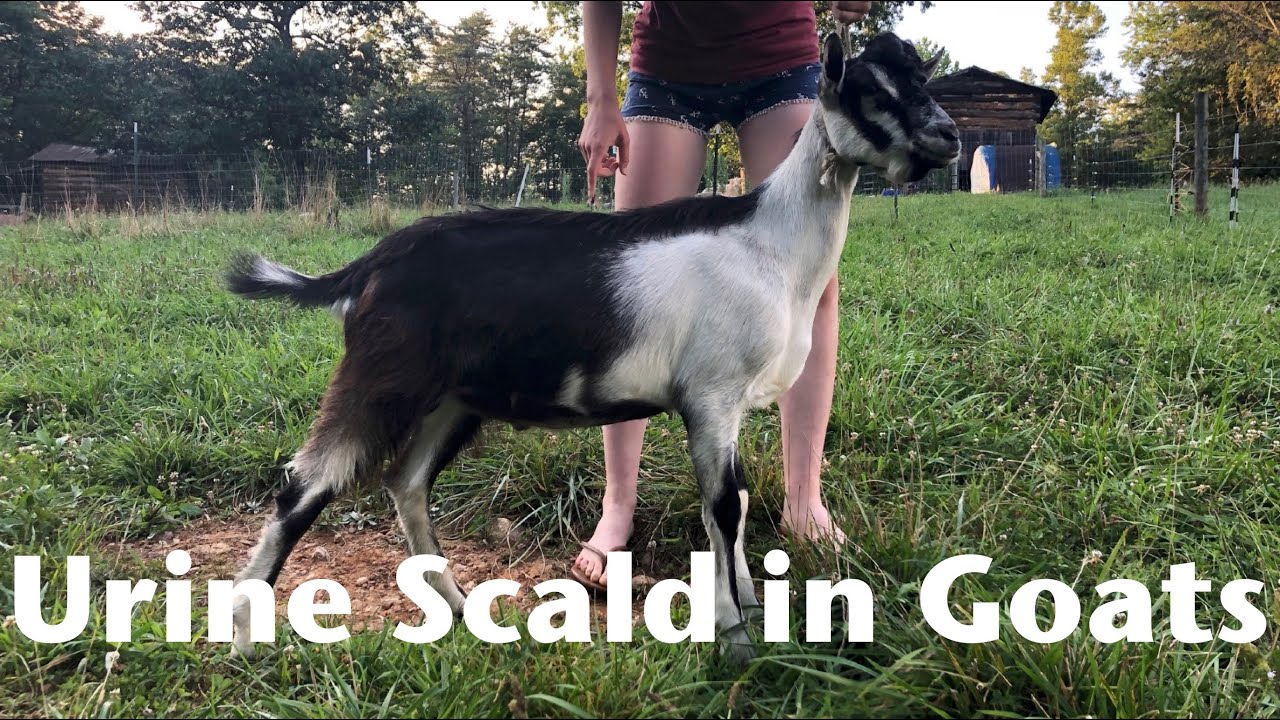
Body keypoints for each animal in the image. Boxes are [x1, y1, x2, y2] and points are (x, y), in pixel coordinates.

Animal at [222, 32, 960, 664]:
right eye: (868, 92)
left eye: (921, 80)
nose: (949, 135)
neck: (767, 246)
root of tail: (366, 267)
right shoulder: (711, 396)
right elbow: (721, 509)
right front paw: (735, 641)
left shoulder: (730, 405)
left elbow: (742, 501)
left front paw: (750, 604)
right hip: (383, 375)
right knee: (303, 487)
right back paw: (244, 640)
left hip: (451, 398)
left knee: (405, 483)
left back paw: (459, 608)